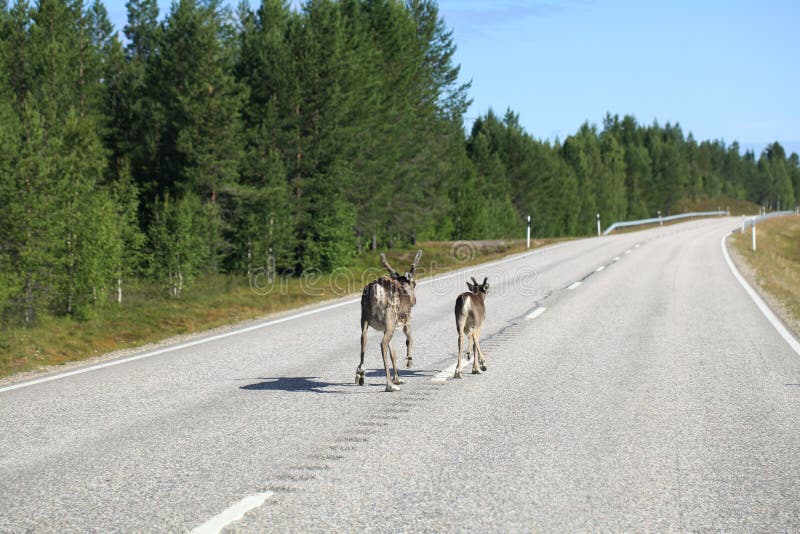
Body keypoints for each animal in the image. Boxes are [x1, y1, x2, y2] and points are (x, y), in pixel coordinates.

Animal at [356, 250, 423, 392]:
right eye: (414, 284)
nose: (414, 300)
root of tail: (376, 290)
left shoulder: (384, 328)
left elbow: (393, 352)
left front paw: (397, 378)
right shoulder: (406, 320)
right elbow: (409, 340)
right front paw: (408, 361)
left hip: (365, 318)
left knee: (364, 338)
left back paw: (360, 374)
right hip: (391, 318)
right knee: (382, 344)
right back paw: (389, 385)